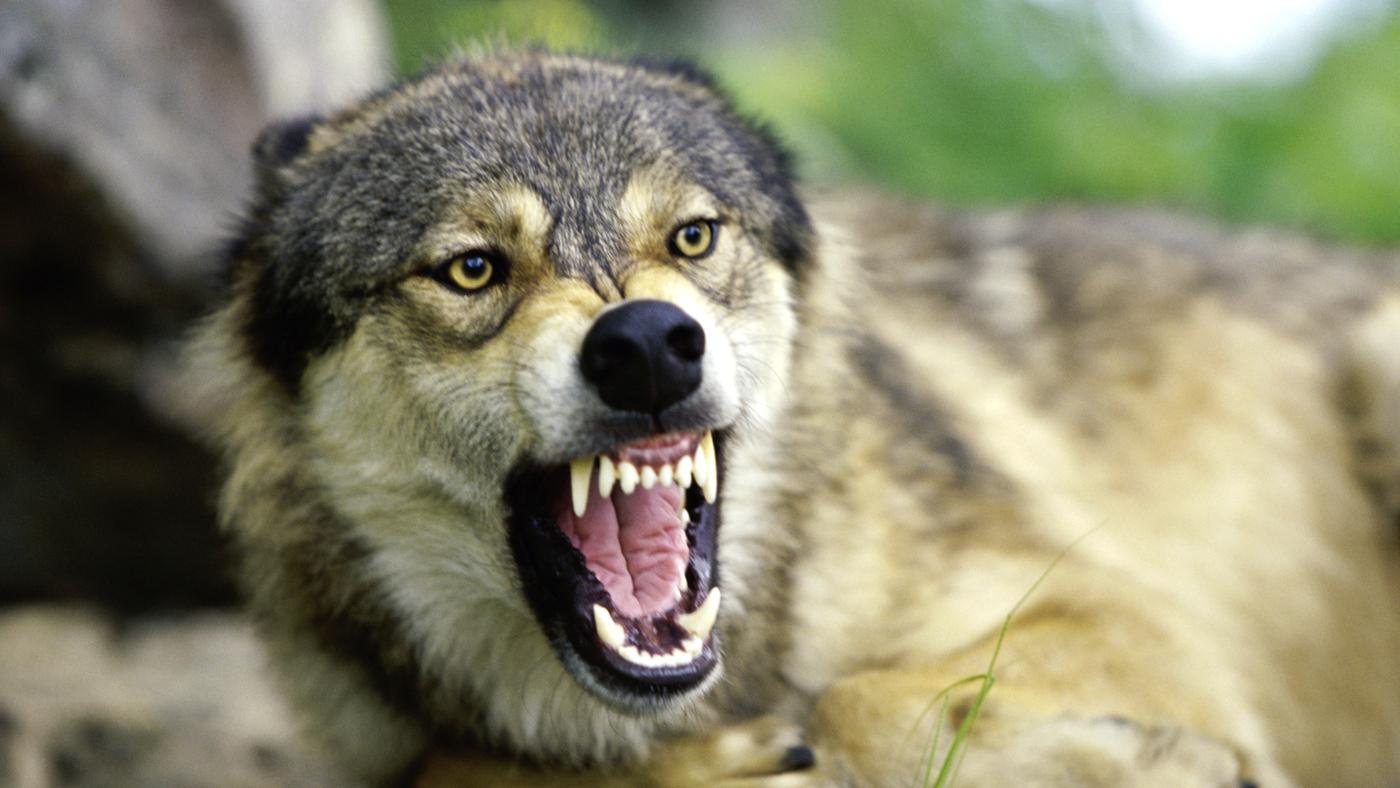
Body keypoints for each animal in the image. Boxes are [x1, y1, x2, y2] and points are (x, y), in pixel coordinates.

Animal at [187, 51, 1400, 786]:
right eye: (473, 268)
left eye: (689, 237)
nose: (646, 343)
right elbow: (453, 768)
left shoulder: (1119, 611)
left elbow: (859, 698)